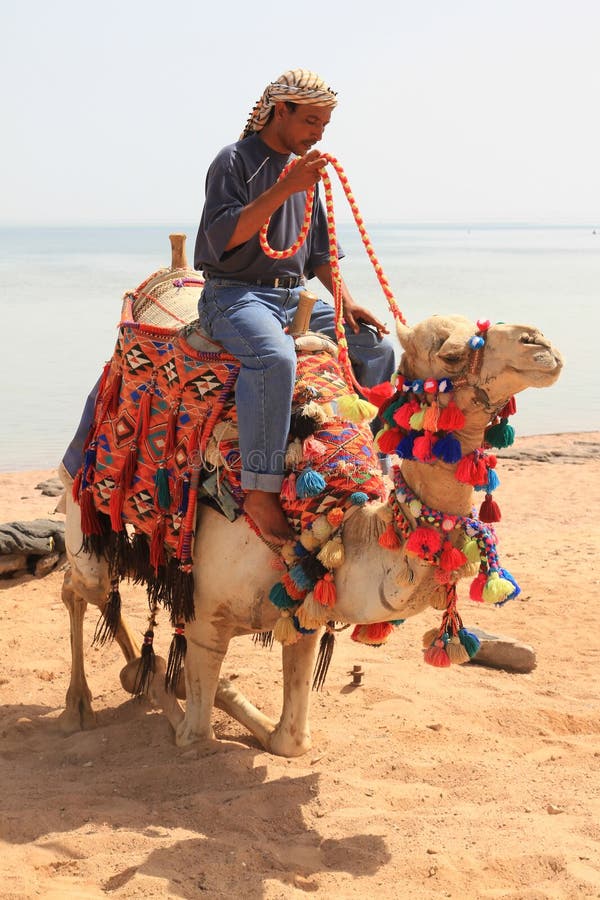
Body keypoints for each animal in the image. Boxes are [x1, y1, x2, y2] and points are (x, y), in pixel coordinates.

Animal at [58, 237, 563, 757]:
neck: (324, 517)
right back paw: (81, 706)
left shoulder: (305, 611)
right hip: (84, 495)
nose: (540, 342)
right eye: (452, 353)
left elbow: (291, 740)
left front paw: (203, 689)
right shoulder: (205, 619)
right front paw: (158, 681)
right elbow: (195, 735)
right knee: (81, 585)